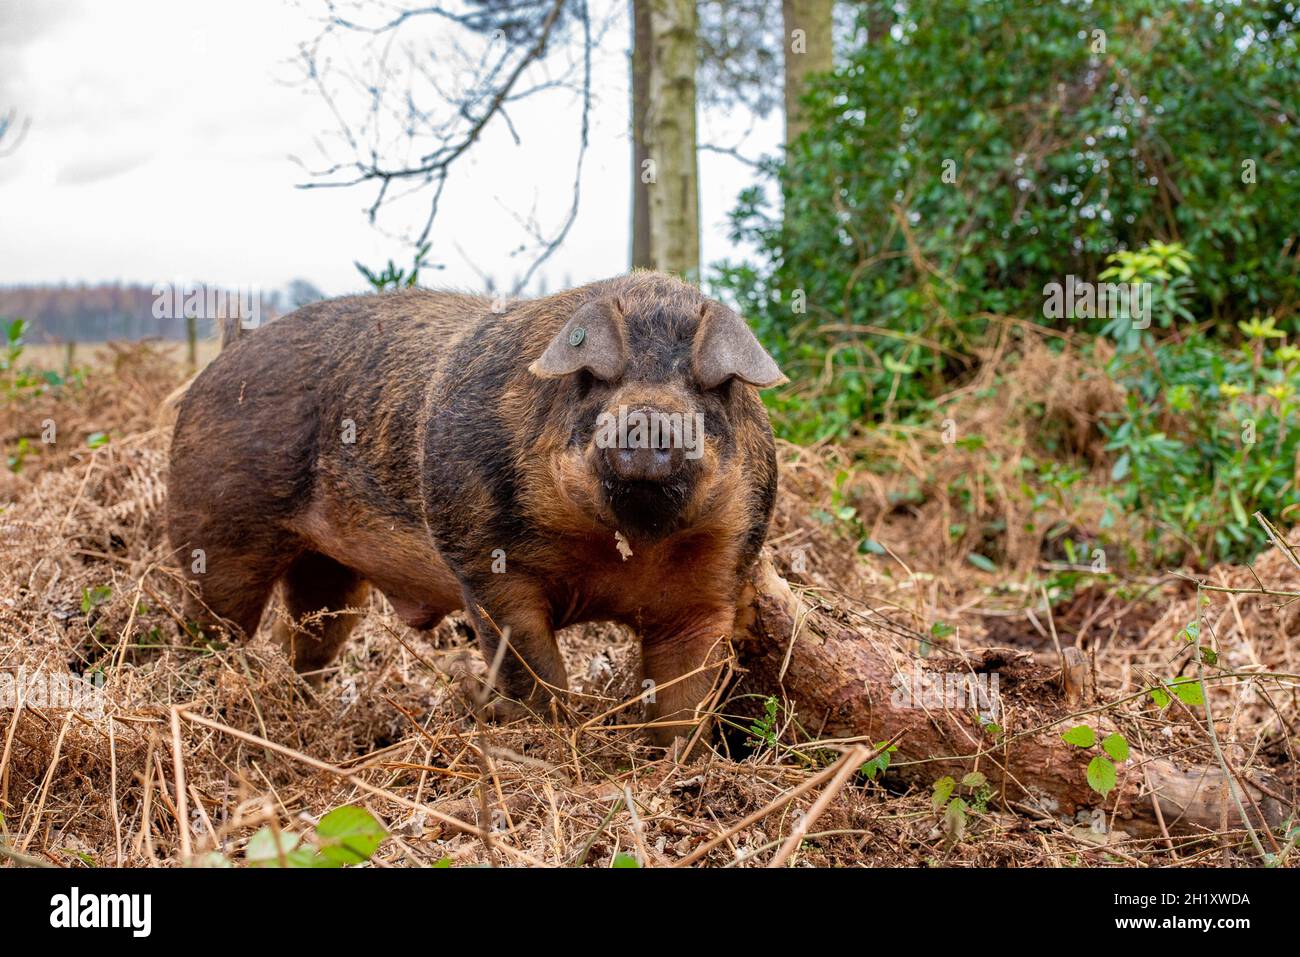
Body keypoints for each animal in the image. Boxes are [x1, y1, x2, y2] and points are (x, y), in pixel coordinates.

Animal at [166, 271, 785, 743]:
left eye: (710, 387)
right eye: (593, 380)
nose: (650, 416)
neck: (623, 547)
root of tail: (228, 351)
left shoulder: (715, 583)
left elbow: (686, 698)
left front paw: (675, 767)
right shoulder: (484, 563)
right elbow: (531, 673)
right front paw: (551, 742)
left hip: (328, 571)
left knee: (308, 634)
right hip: (214, 524)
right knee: (215, 617)